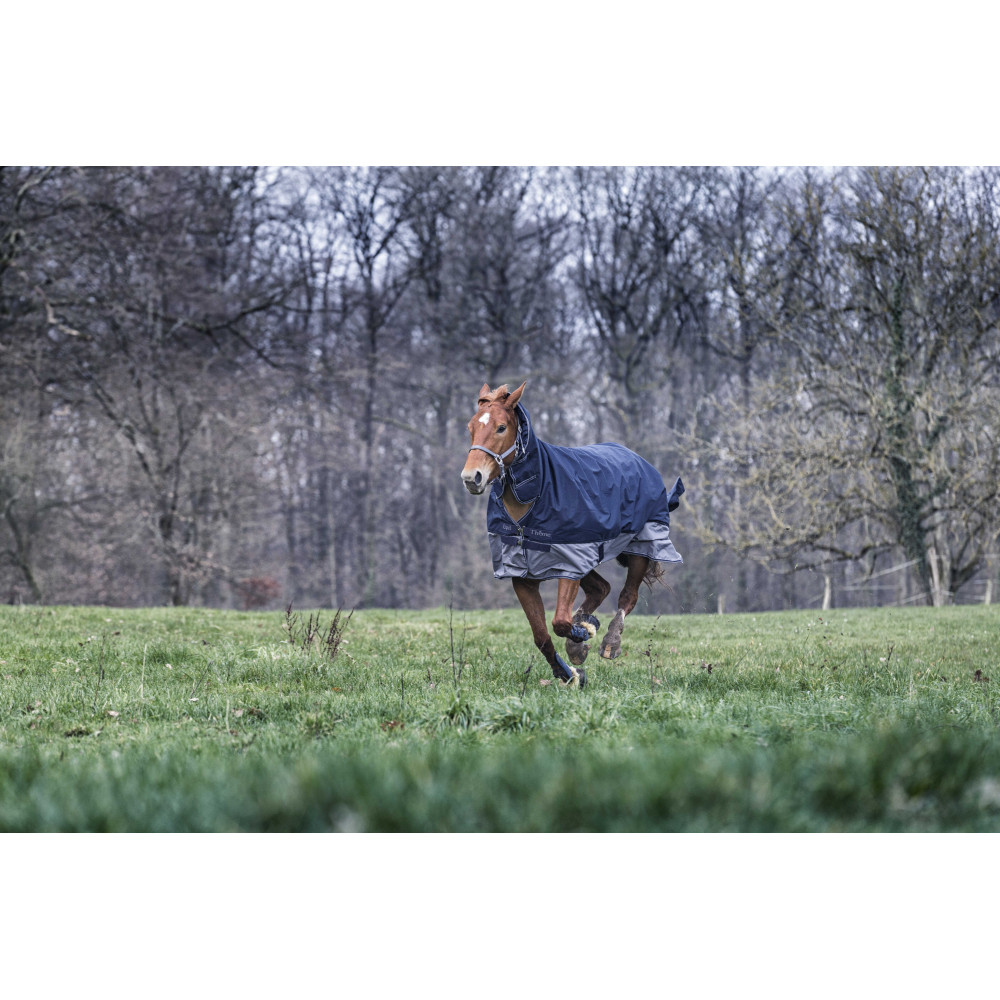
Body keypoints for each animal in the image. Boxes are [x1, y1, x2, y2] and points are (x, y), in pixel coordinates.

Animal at [461, 381, 683, 687]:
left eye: (501, 427)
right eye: (471, 426)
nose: (472, 478)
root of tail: (640, 460)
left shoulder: (569, 565)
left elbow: (560, 622)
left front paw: (583, 633)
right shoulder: (524, 576)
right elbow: (542, 635)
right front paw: (569, 671)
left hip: (641, 545)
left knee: (627, 597)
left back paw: (609, 642)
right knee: (601, 588)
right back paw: (582, 636)